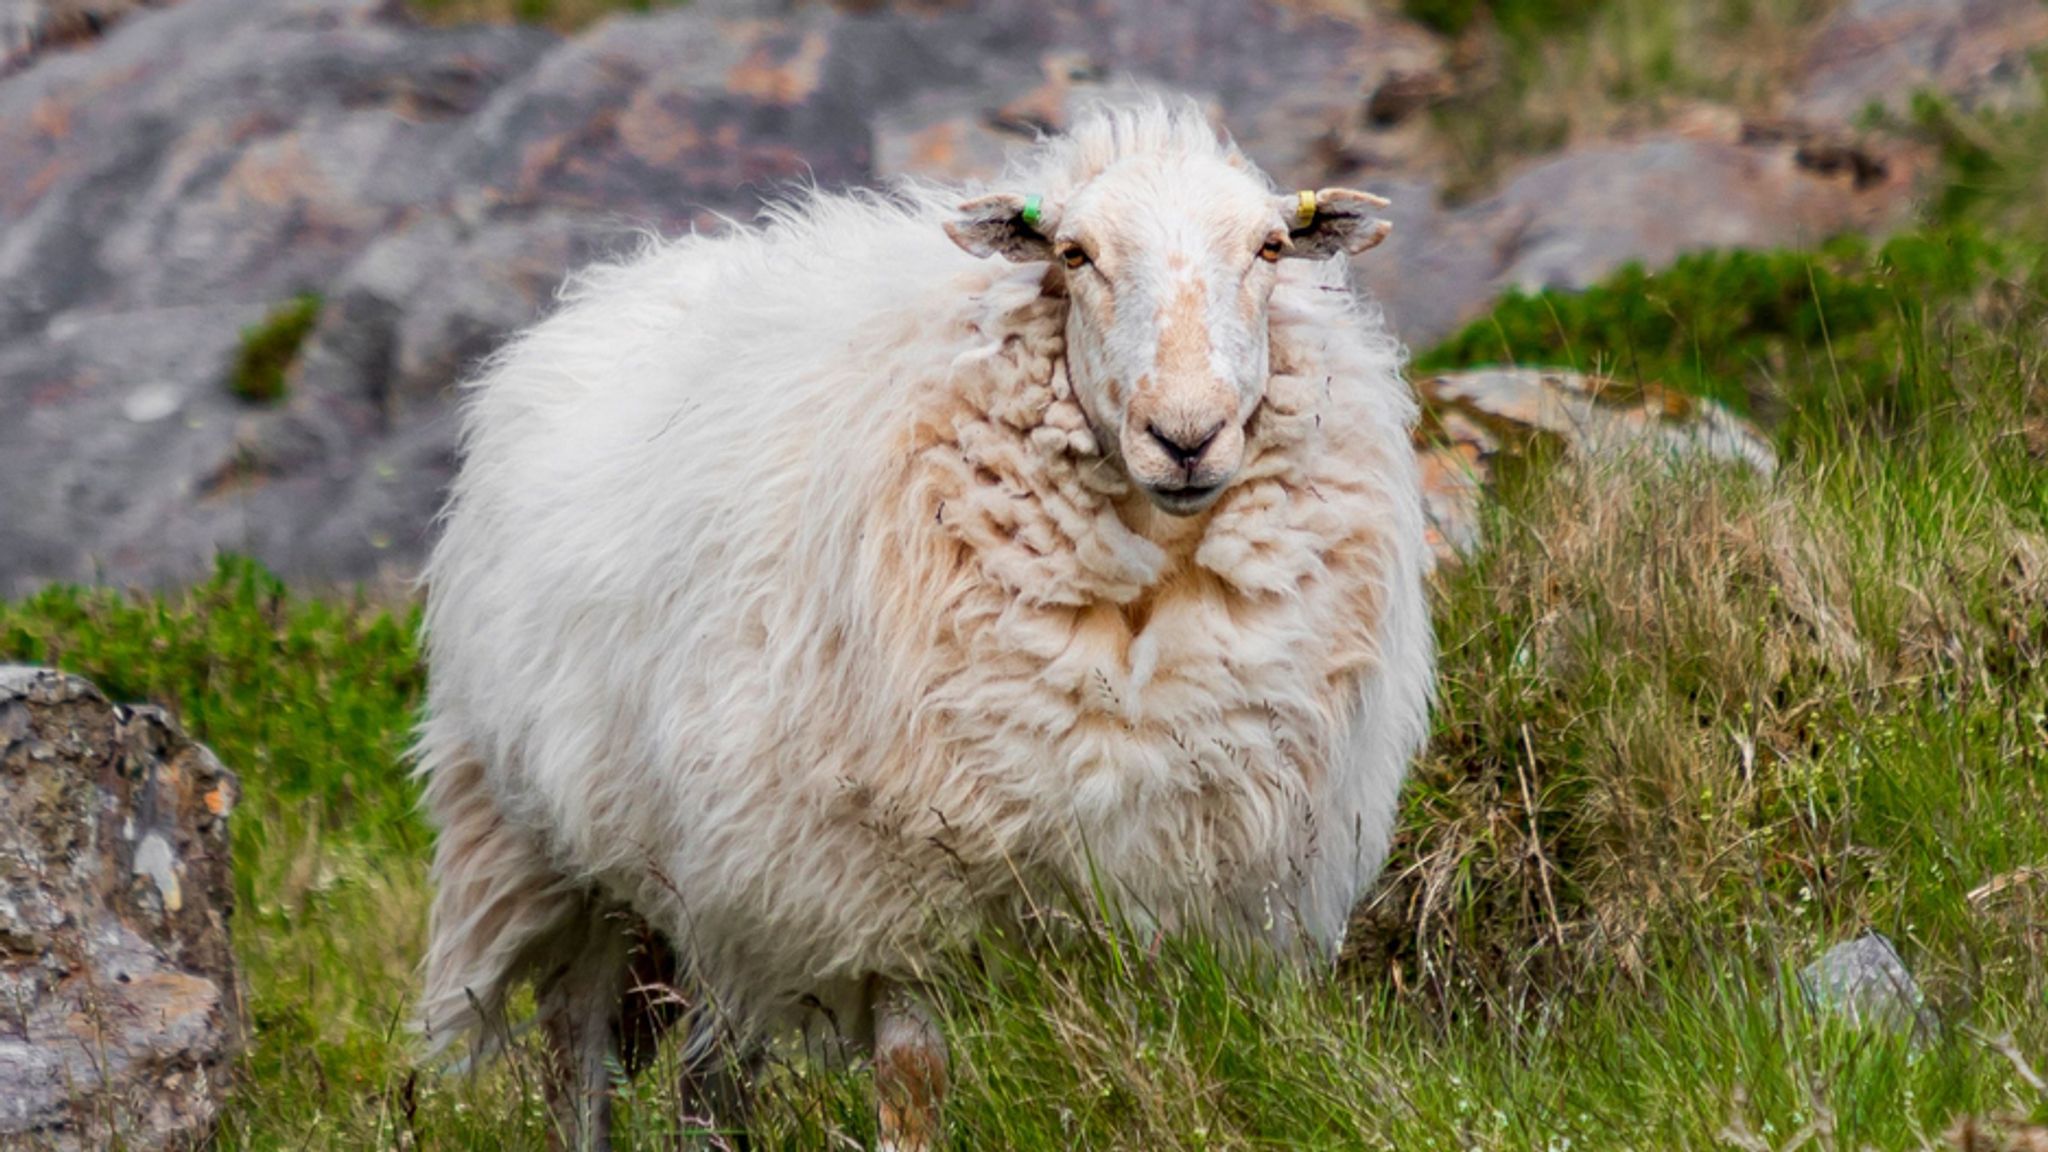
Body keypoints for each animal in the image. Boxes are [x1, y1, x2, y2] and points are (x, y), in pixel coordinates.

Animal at [415, 96, 1434, 1150]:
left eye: (1271, 248)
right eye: (1074, 254)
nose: (1185, 437)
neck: (1145, 586)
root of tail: (616, 281)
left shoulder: (1181, 894)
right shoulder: (901, 891)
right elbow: (915, 1079)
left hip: (723, 876)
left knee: (711, 1070)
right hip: (544, 846)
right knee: (575, 1054)